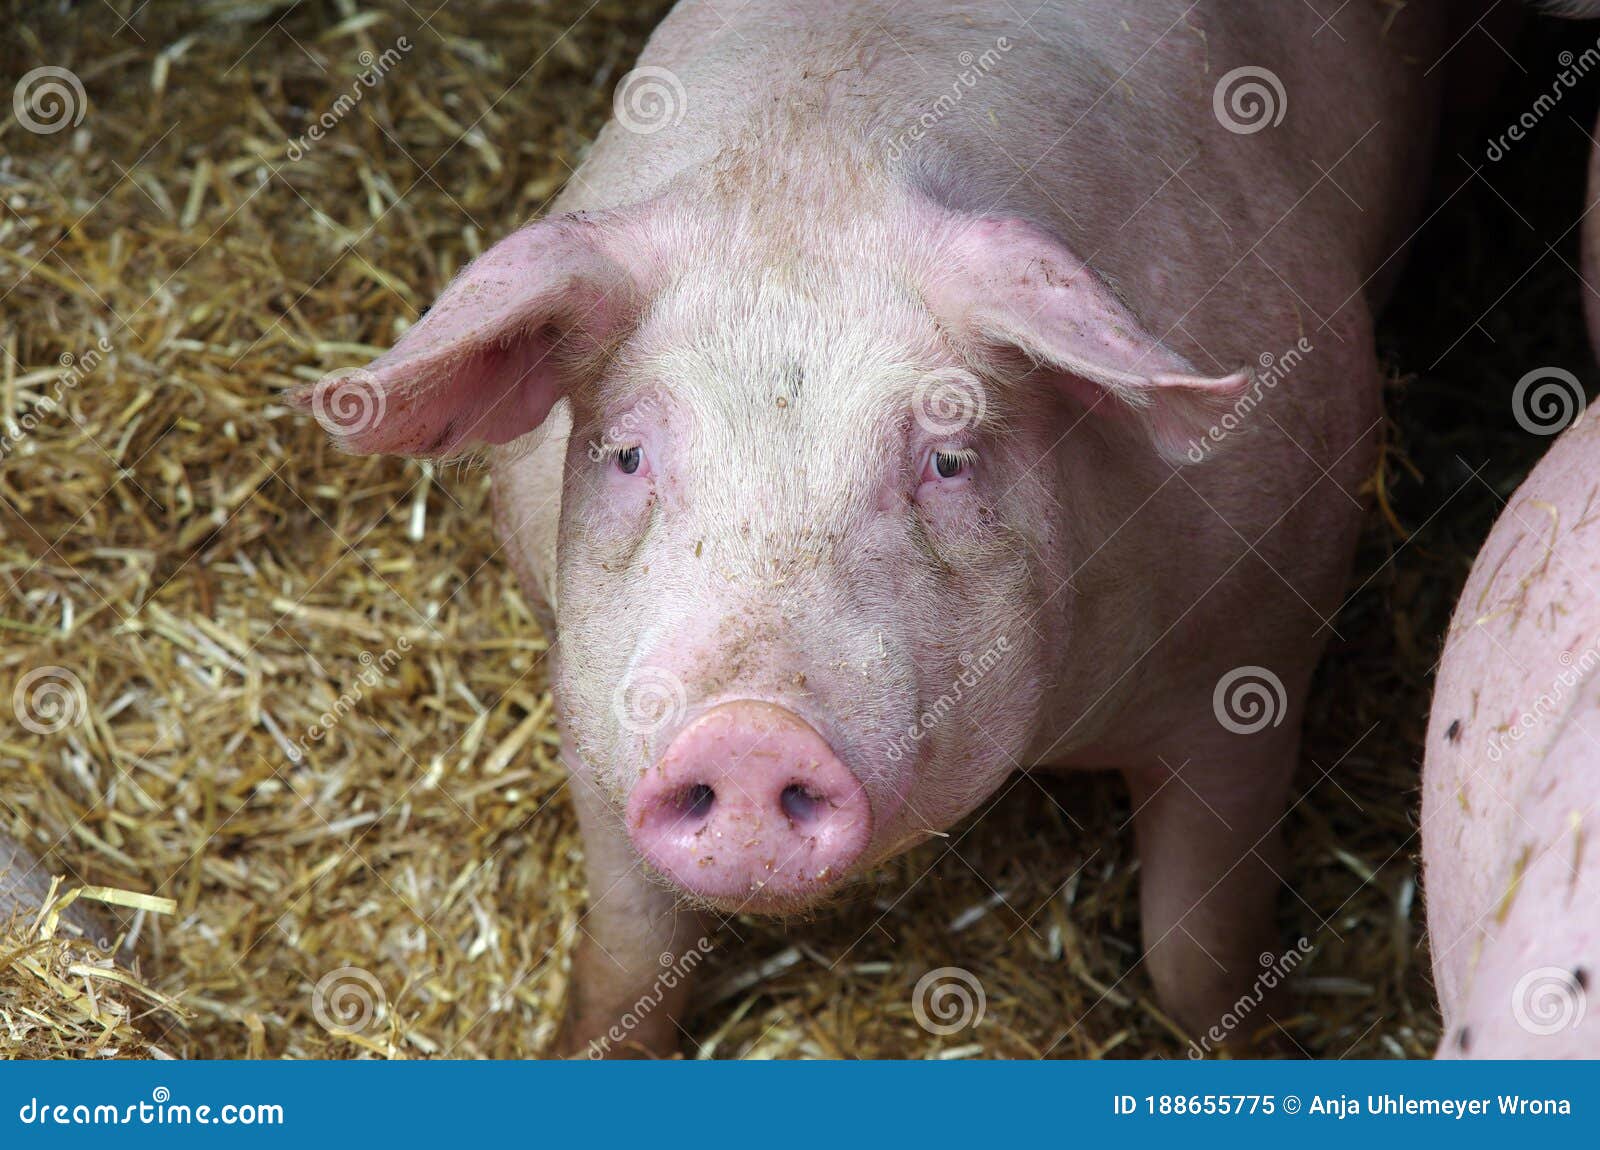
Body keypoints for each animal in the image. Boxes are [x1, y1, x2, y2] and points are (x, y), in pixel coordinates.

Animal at [297, 0, 1458, 1056]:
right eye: (625, 453)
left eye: (946, 457)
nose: (750, 728)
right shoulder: (588, 688)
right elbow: (625, 951)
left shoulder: (1259, 652)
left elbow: (1197, 955)